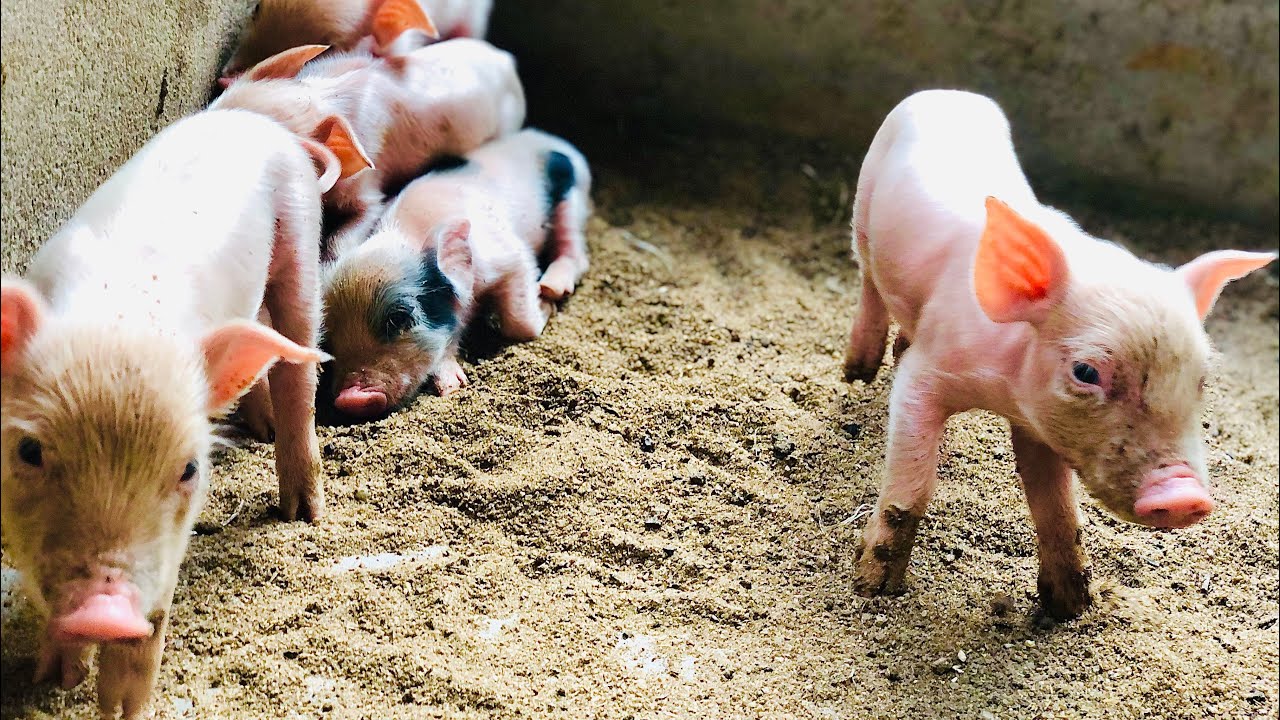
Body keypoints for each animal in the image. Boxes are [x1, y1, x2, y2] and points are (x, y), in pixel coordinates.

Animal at [0, 108, 367, 717]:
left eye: (190, 470)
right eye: (28, 451)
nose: (104, 610)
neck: (116, 321)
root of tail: (263, 121)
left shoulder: (169, 549)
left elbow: (151, 629)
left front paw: (124, 709)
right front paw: (54, 679)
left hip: (299, 242)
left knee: (297, 360)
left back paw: (303, 513)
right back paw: (262, 428)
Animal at [321, 128, 591, 419]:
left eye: (398, 317)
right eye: (328, 338)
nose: (350, 399)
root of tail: (555, 141)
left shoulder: (511, 257)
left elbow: (519, 323)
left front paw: (545, 305)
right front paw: (452, 387)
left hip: (571, 200)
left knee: (576, 252)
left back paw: (553, 288)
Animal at [842, 90, 1276, 620]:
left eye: (1202, 380)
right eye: (1086, 371)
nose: (1184, 496)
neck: (1001, 392)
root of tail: (948, 92)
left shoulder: (1036, 421)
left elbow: (1055, 504)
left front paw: (1070, 607)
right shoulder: (928, 374)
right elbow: (914, 484)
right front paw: (871, 588)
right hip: (864, 203)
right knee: (867, 280)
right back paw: (858, 371)